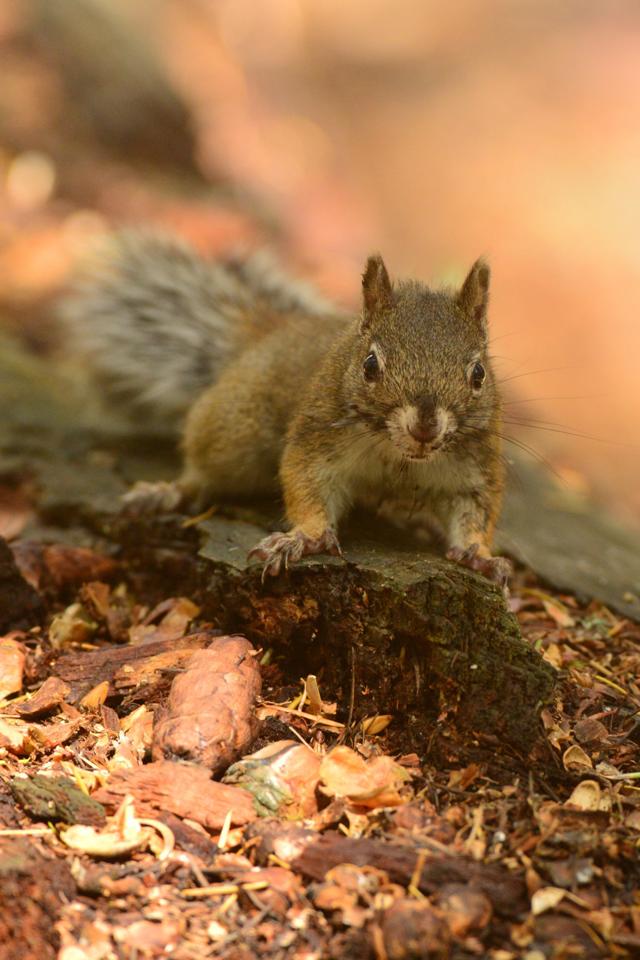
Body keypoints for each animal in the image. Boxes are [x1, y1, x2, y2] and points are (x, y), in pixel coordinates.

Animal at [62, 231, 510, 586]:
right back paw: (166, 493)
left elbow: (475, 513)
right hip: (233, 433)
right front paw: (304, 538)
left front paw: (480, 556)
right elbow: (306, 485)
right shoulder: (316, 441)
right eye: (370, 364)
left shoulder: (474, 469)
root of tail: (270, 334)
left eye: (479, 373)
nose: (425, 426)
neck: (399, 458)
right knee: (201, 472)